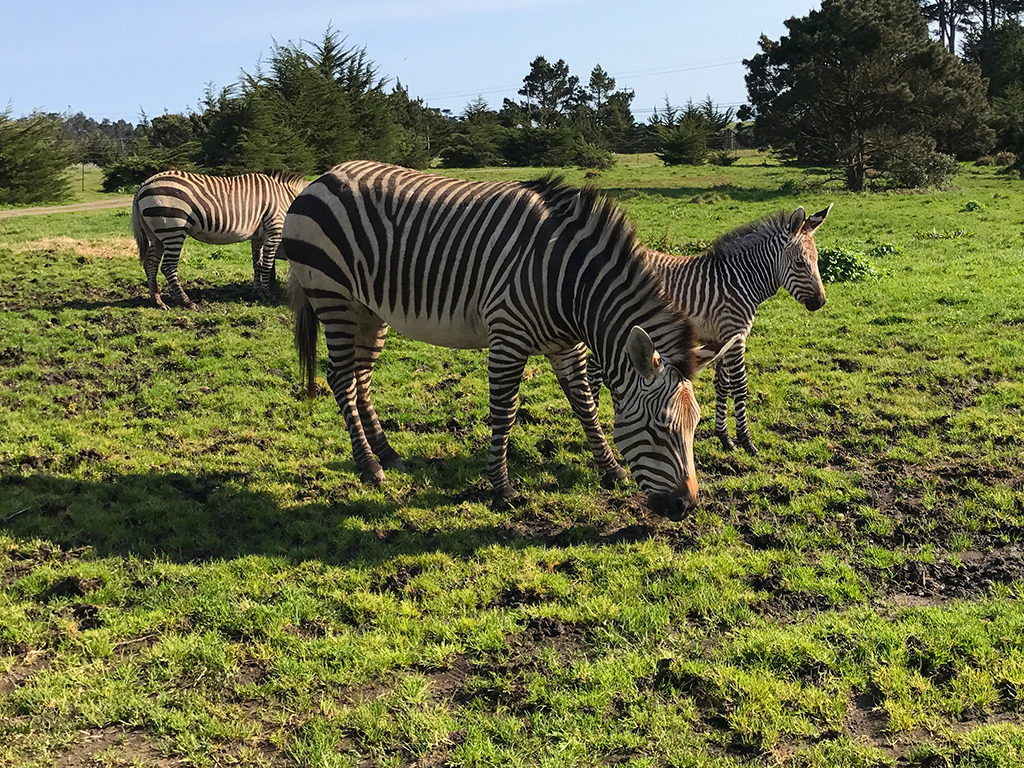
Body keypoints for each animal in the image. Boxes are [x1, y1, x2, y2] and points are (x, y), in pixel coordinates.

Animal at [131, 170, 309, 309]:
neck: (287, 200)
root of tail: (143, 184)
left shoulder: (258, 237)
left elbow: (257, 265)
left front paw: (257, 292)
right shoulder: (274, 231)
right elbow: (266, 266)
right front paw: (267, 295)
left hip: (156, 235)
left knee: (150, 264)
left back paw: (157, 301)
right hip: (173, 229)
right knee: (168, 267)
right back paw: (187, 302)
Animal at [282, 161, 737, 516]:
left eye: (696, 426)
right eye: (660, 428)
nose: (684, 507)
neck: (570, 284)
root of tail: (322, 178)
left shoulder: (567, 346)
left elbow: (585, 405)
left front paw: (610, 468)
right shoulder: (508, 337)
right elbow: (505, 412)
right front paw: (502, 489)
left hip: (369, 309)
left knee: (361, 378)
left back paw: (389, 454)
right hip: (333, 297)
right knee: (341, 379)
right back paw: (368, 466)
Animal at [587, 205, 832, 454]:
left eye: (817, 260)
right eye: (800, 263)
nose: (820, 302)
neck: (740, 280)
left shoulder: (722, 338)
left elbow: (722, 385)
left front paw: (724, 437)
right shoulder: (736, 333)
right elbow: (740, 386)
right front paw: (746, 441)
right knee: (593, 371)